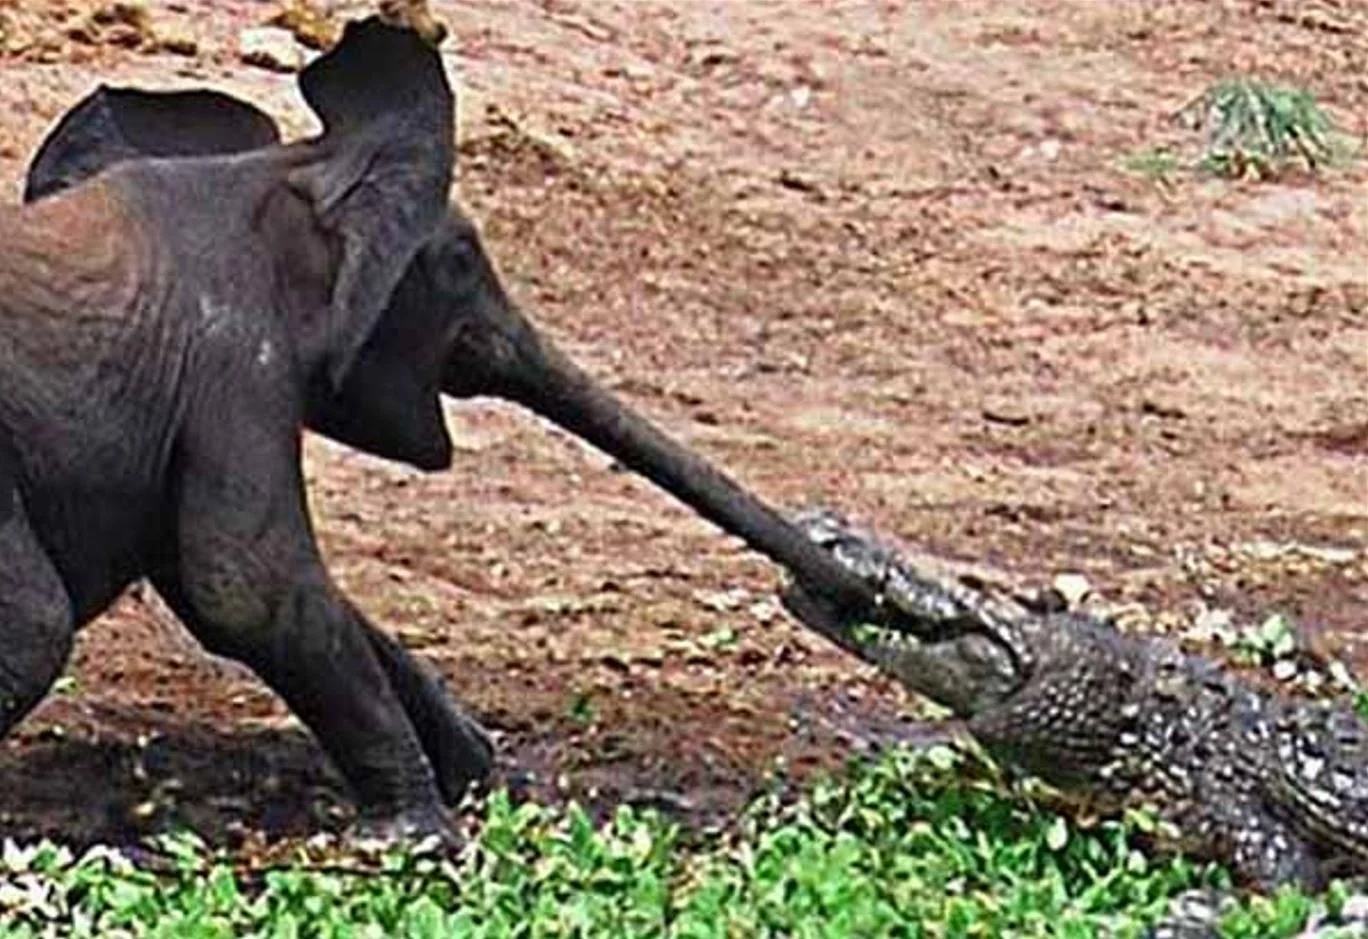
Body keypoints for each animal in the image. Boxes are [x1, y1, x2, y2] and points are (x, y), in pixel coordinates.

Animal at [1, 16, 885, 841]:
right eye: (458, 262)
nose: (857, 581)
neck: (283, 173)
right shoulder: (234, 361)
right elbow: (247, 585)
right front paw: (420, 832)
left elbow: (225, 583)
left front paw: (480, 773)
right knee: (41, 624)